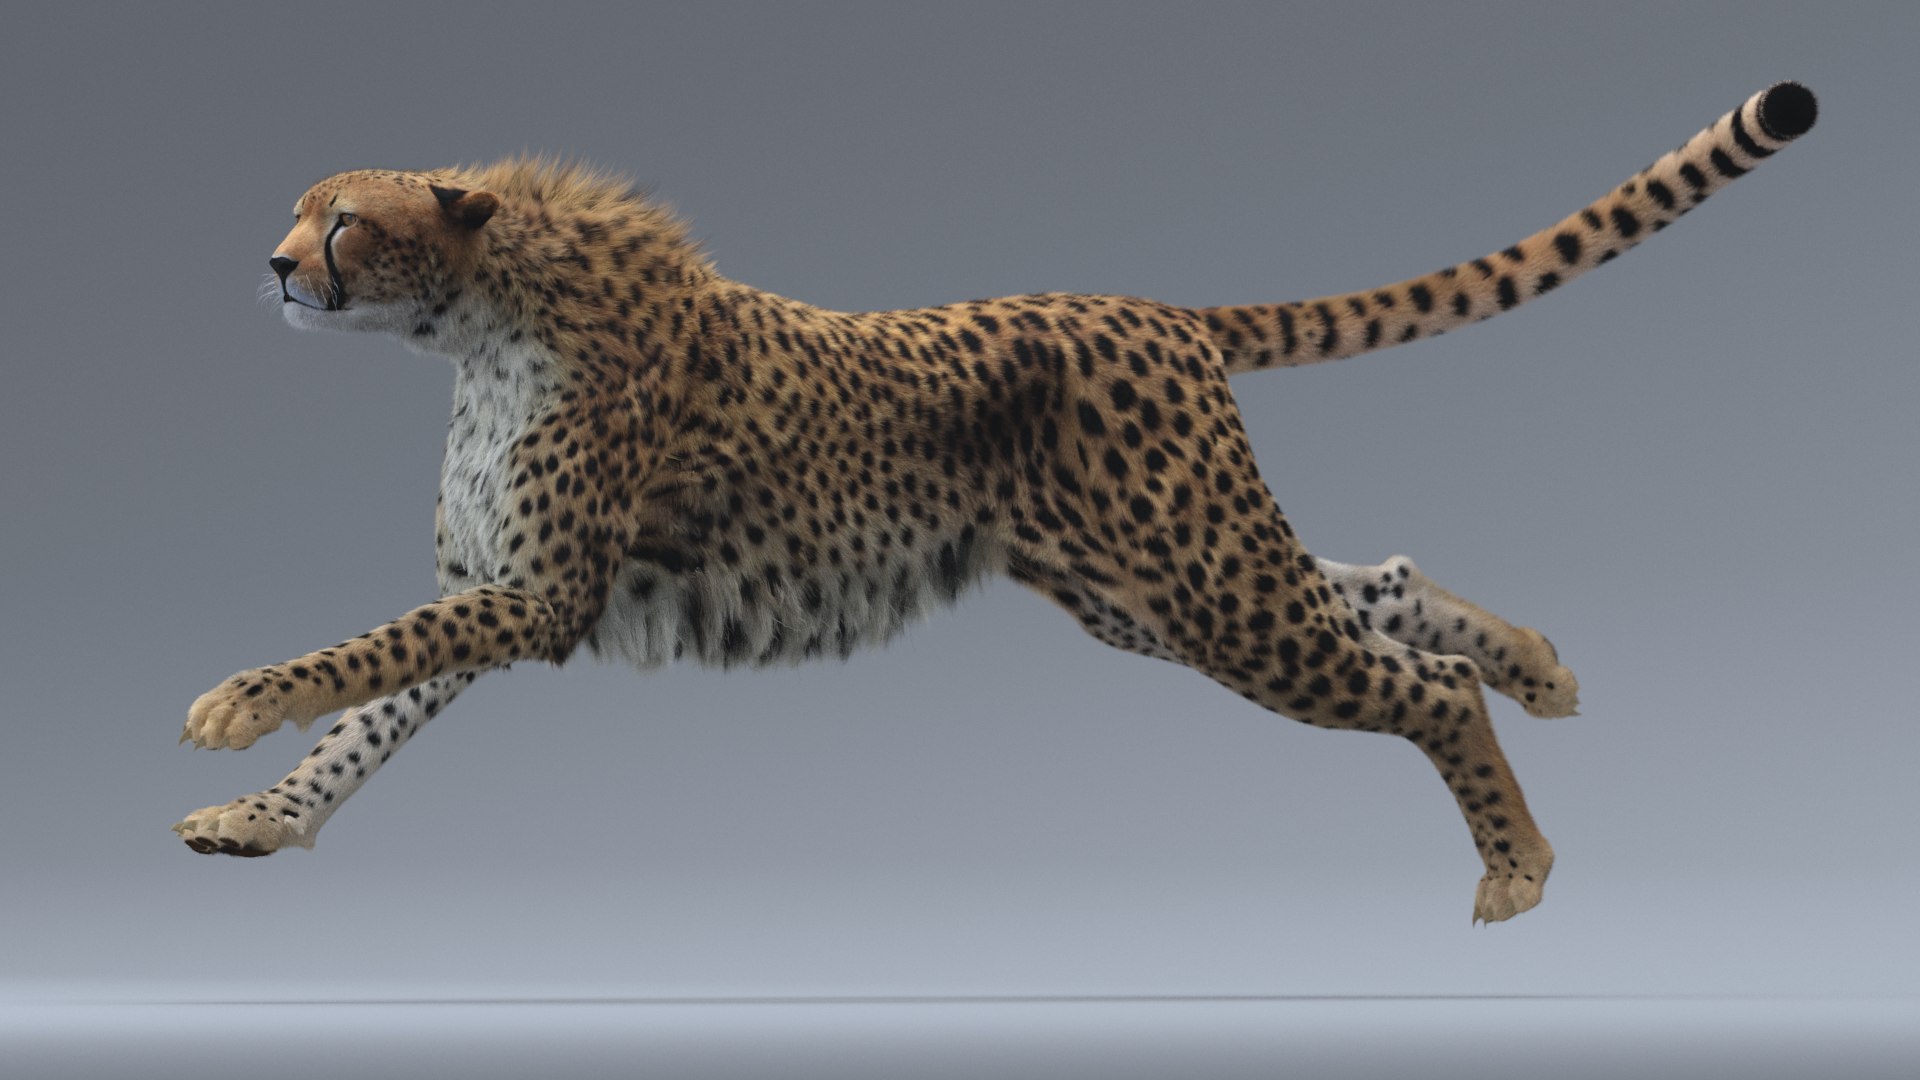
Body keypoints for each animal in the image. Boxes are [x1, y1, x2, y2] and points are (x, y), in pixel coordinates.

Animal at [175, 82, 1817, 923]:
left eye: (344, 224)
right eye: (300, 214)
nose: (271, 265)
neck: (481, 309)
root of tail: (1152, 306)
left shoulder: (539, 592)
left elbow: (360, 653)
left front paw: (235, 705)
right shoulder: (494, 590)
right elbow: (371, 711)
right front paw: (263, 814)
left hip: (1209, 591)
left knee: (1413, 684)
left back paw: (1517, 859)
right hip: (1154, 590)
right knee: (1389, 585)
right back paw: (1539, 666)